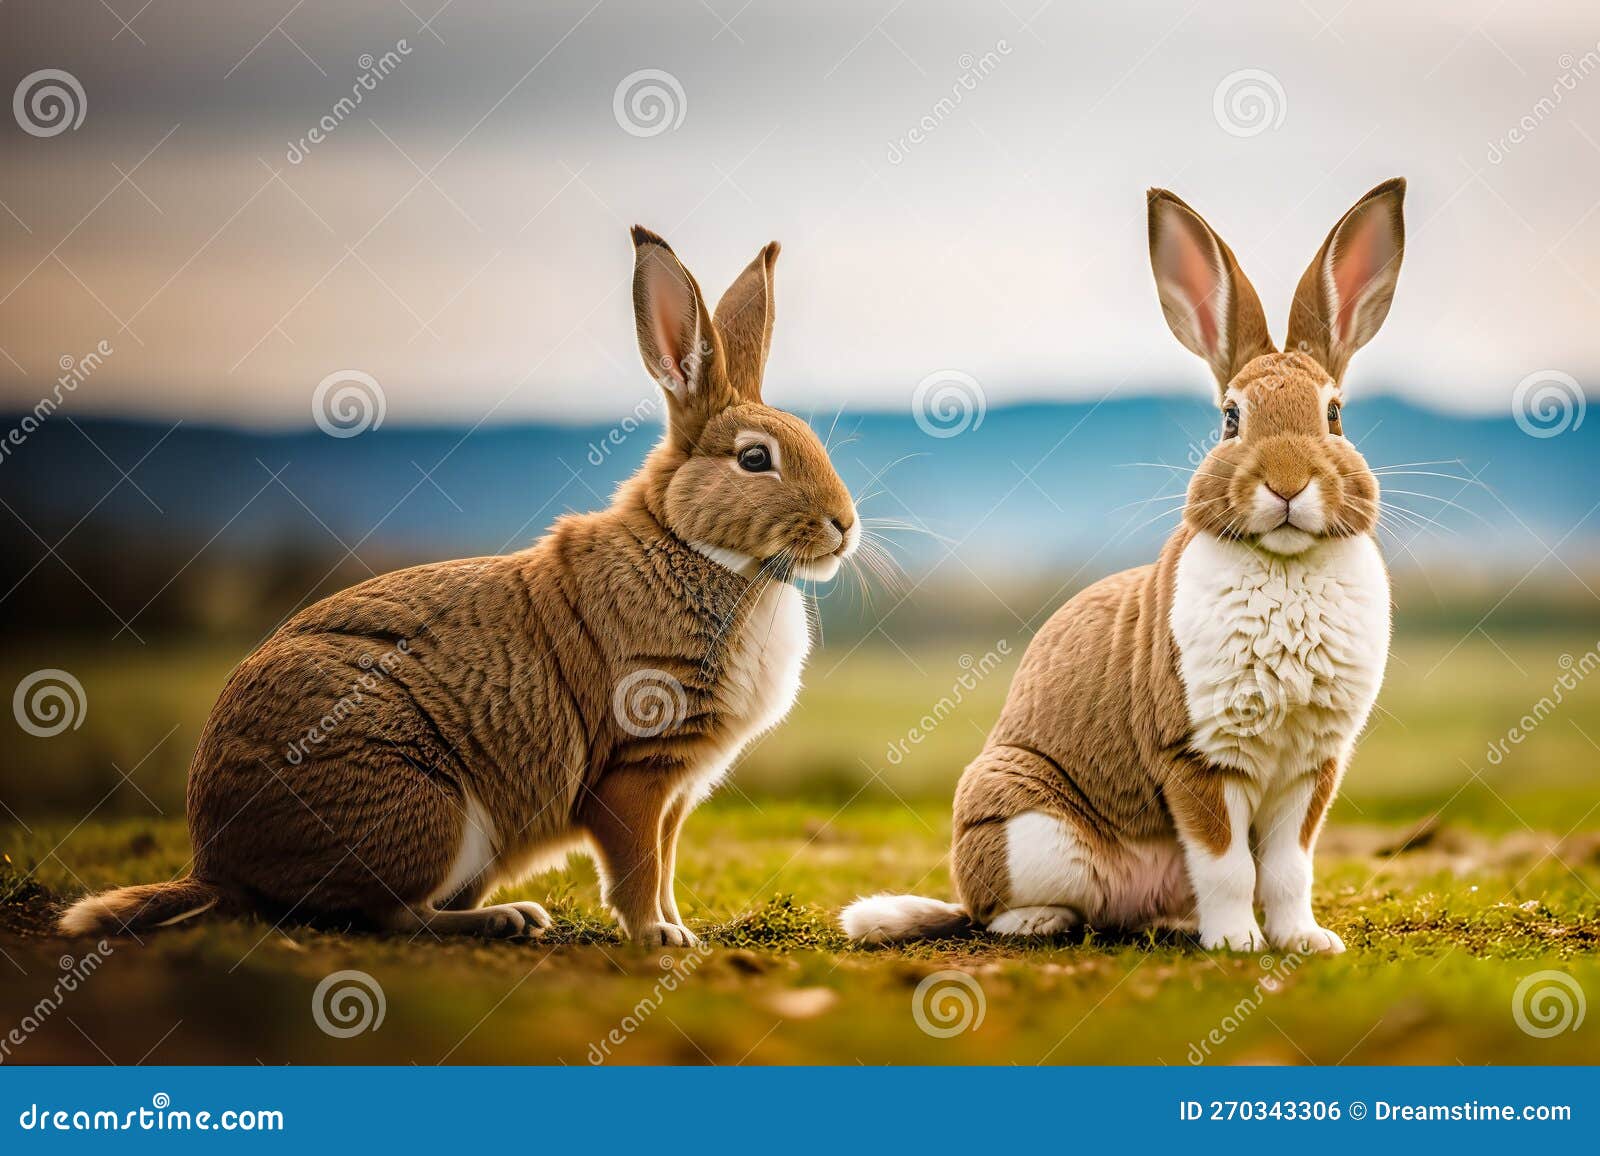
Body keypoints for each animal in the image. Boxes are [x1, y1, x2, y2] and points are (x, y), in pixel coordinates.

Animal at [60, 227, 858, 946]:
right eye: (755, 459)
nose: (844, 525)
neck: (694, 546)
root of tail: (216, 864)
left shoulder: (677, 792)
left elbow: (661, 866)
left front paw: (676, 928)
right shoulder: (636, 773)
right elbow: (636, 869)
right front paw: (659, 937)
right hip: (432, 811)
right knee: (385, 916)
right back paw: (506, 920)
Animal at [842, 179, 1406, 953]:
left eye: (1336, 415)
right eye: (1231, 418)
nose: (1287, 484)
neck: (1286, 565)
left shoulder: (1310, 768)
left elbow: (1289, 870)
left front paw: (1305, 942)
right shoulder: (1198, 757)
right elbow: (1229, 868)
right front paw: (1237, 944)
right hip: (1027, 828)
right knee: (1002, 912)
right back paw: (1044, 921)